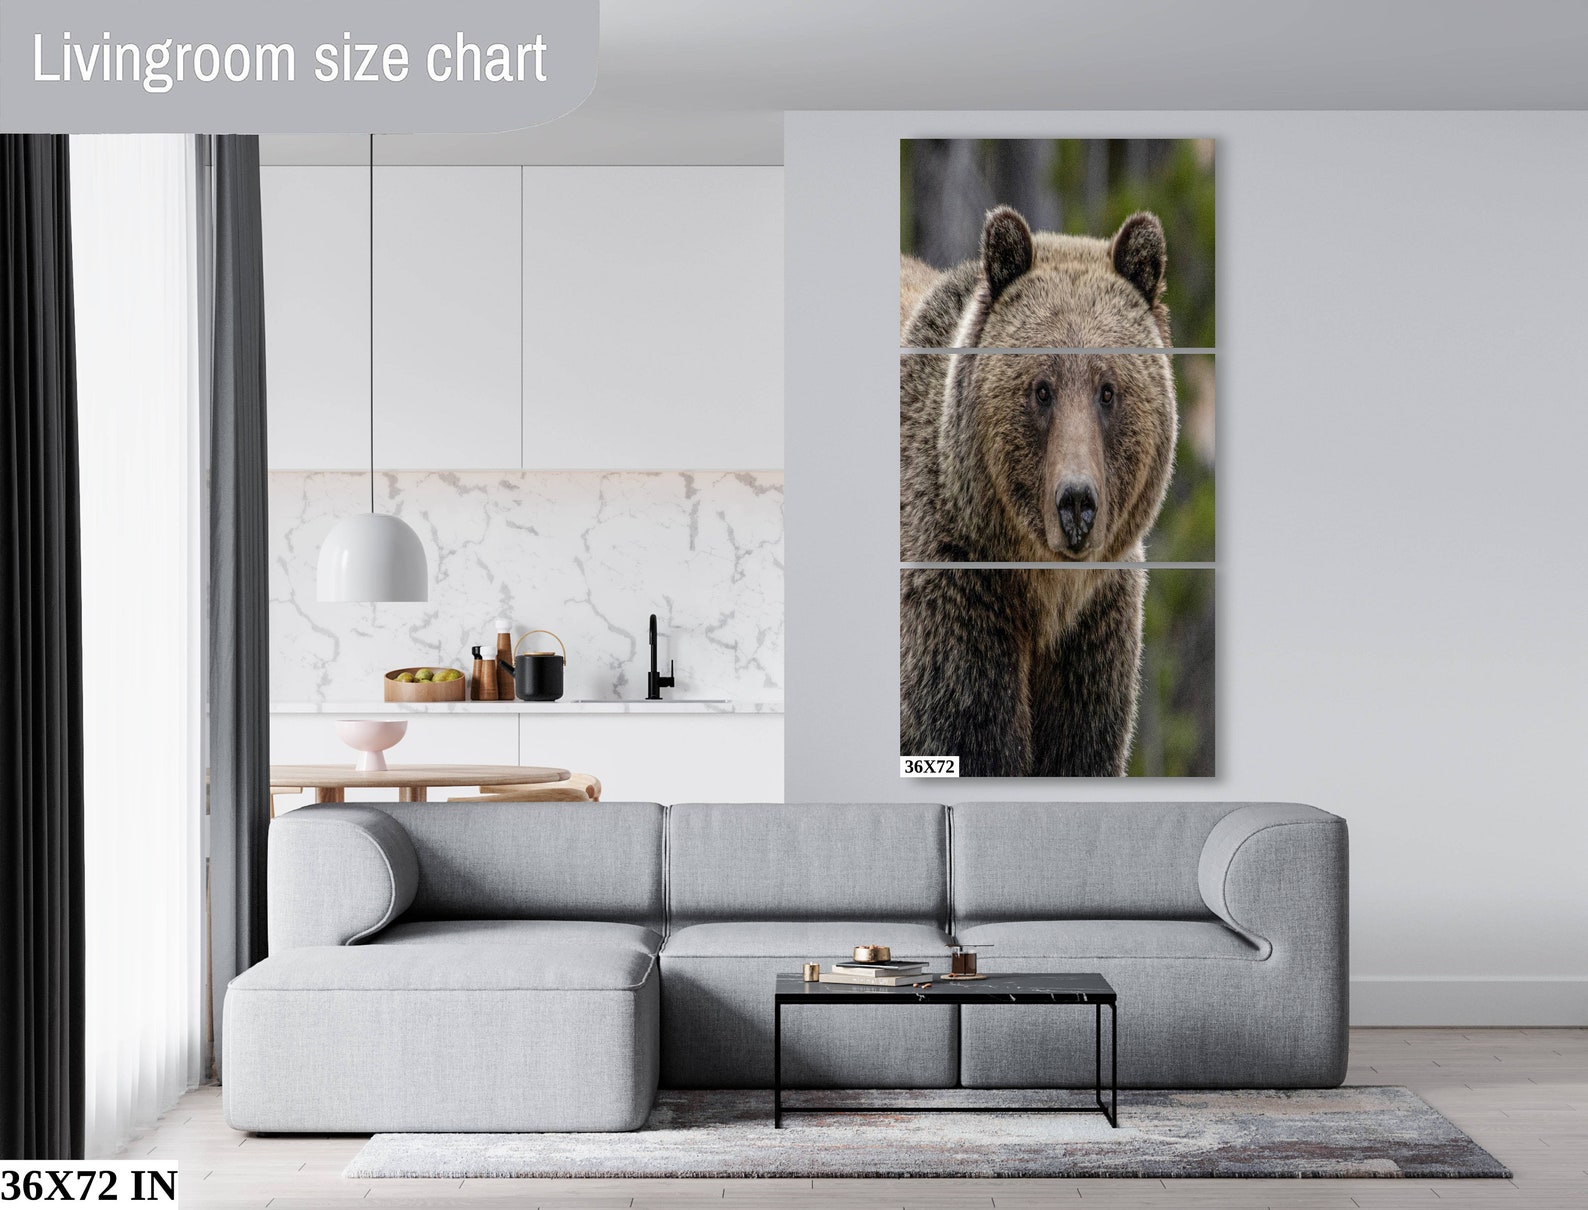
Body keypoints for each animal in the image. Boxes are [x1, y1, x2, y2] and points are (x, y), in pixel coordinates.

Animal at [899, 206, 1178, 777]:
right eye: (1041, 389)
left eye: (1108, 390)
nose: (1076, 503)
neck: (1044, 593)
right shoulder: (958, 597)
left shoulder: (1093, 633)